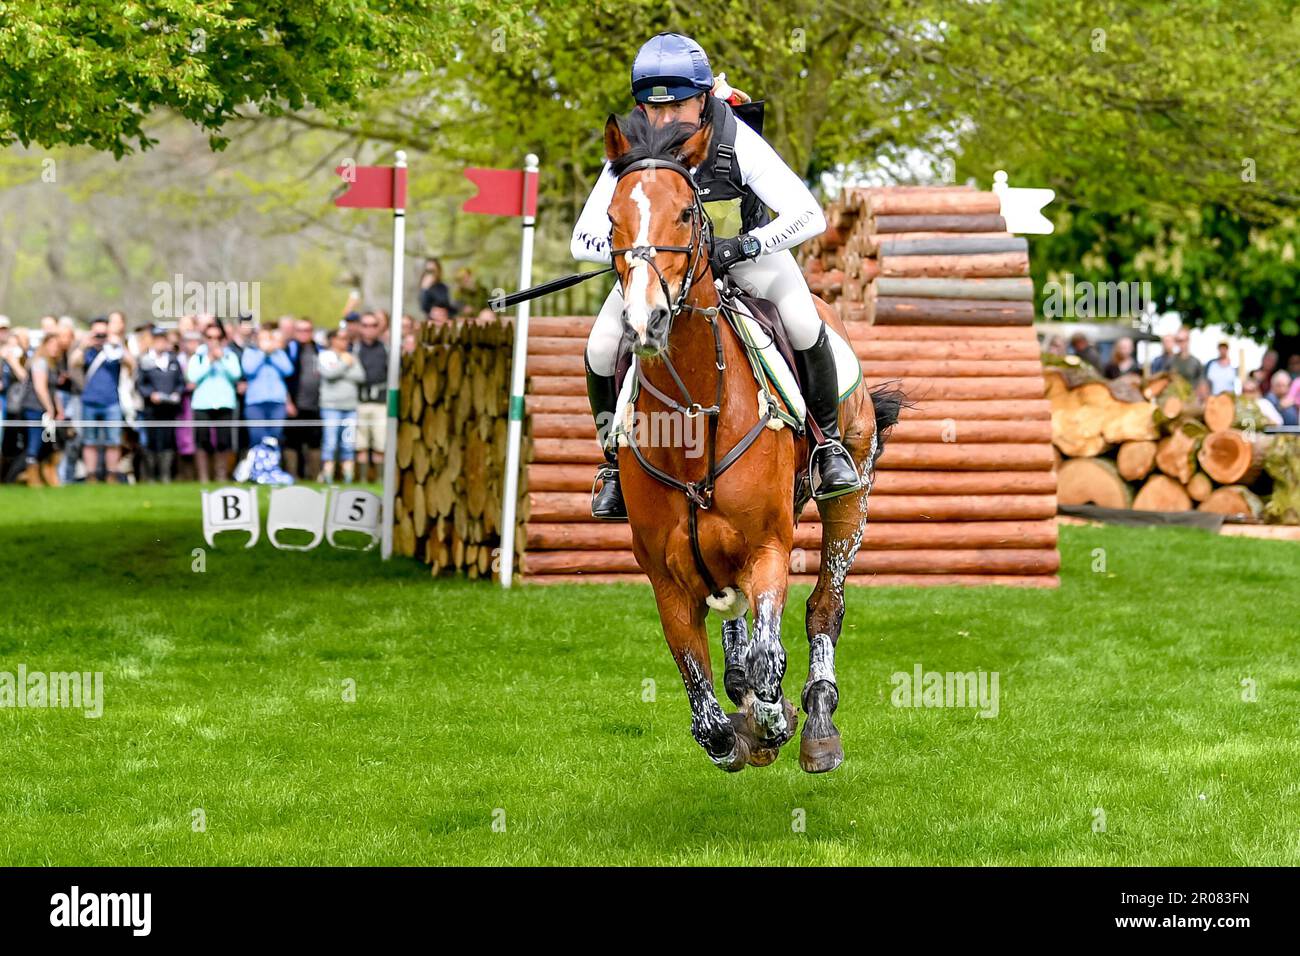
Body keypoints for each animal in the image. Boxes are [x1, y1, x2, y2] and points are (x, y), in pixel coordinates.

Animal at [601, 110, 901, 773]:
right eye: (611, 218)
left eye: (686, 214)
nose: (644, 321)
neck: (693, 415)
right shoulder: (665, 577)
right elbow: (705, 708)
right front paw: (743, 729)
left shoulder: (768, 546)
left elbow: (770, 660)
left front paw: (775, 721)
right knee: (736, 624)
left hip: (850, 499)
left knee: (825, 606)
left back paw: (817, 722)